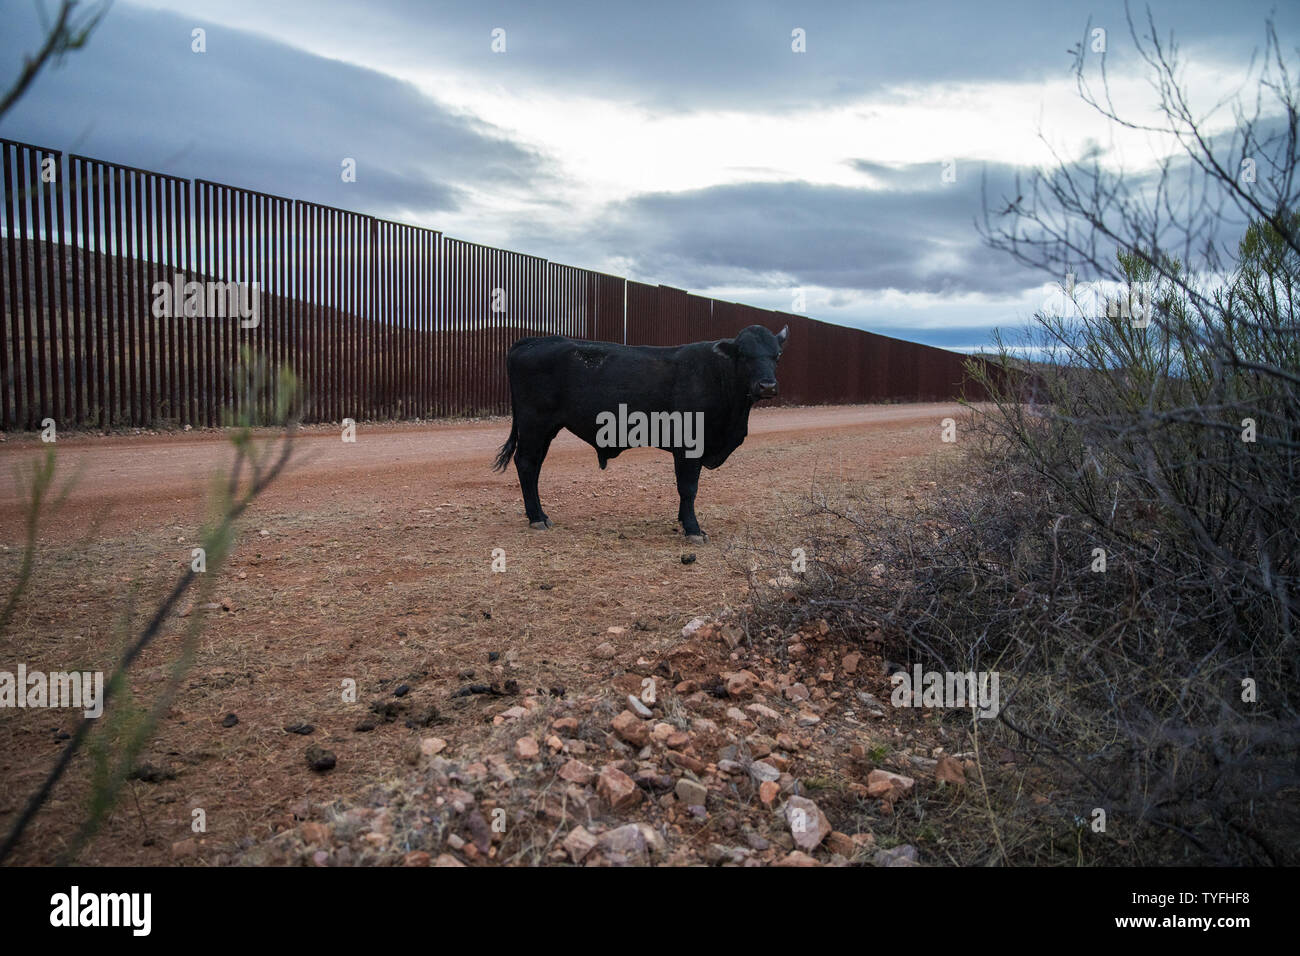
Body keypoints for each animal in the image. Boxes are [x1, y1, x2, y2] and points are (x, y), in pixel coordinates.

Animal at [492, 324, 789, 542]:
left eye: (776, 355)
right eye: (744, 355)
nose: (767, 386)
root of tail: (533, 341)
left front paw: (683, 521)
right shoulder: (689, 445)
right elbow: (688, 487)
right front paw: (693, 529)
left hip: (545, 429)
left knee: (534, 466)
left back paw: (541, 515)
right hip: (534, 424)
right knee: (526, 464)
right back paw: (536, 518)